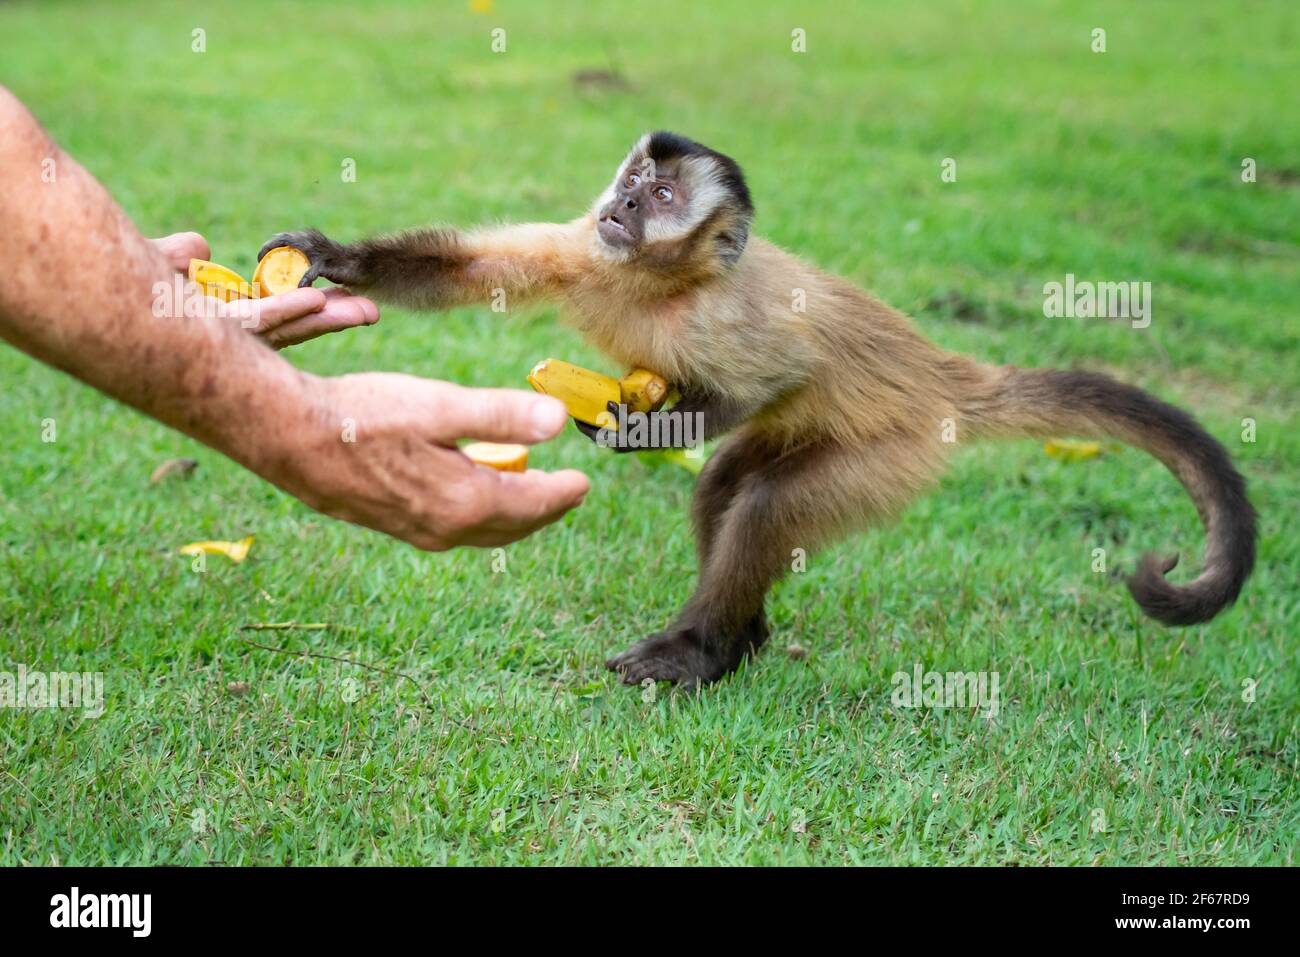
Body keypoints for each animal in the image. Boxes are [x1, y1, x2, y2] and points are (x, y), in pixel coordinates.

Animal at [260, 131, 1257, 688]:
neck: (655, 281)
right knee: (728, 486)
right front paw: (338, 259)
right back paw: (740, 634)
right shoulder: (586, 248)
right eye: (631, 182)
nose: (625, 202)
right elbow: (468, 270)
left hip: (897, 446)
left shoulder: (724, 316)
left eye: (662, 197)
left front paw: (636, 427)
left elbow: (759, 384)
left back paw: (700, 648)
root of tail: (941, 374)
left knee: (770, 499)